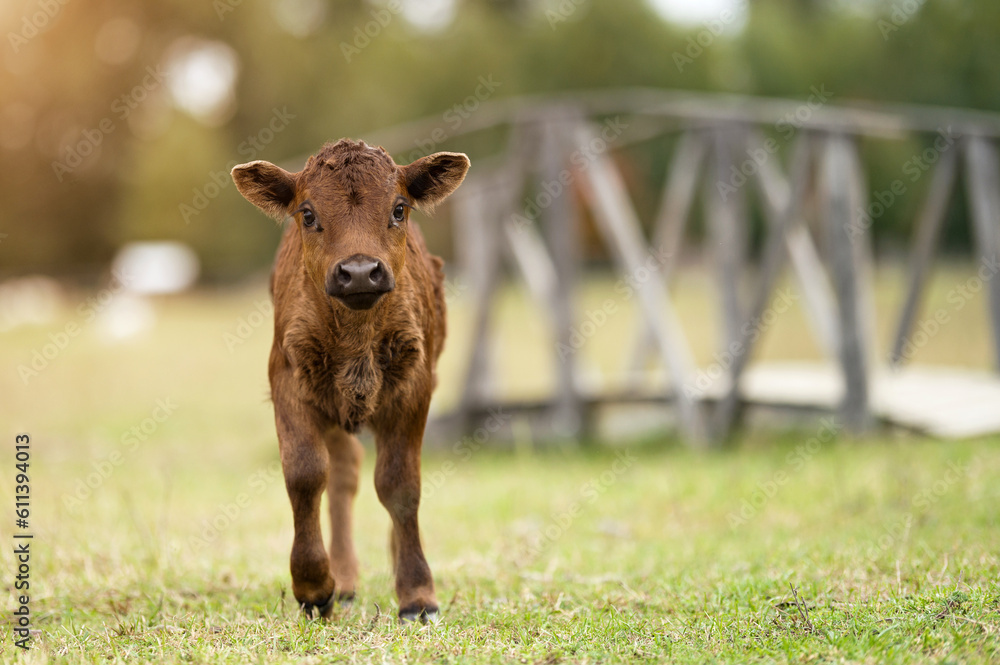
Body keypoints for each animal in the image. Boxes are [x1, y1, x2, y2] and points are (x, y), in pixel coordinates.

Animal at [231, 139, 469, 623]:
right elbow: (305, 474)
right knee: (343, 474)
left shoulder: (414, 390)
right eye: (307, 213)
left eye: (399, 208)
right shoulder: (288, 381)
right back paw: (341, 579)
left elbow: (401, 484)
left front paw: (418, 594)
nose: (359, 271)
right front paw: (312, 587)